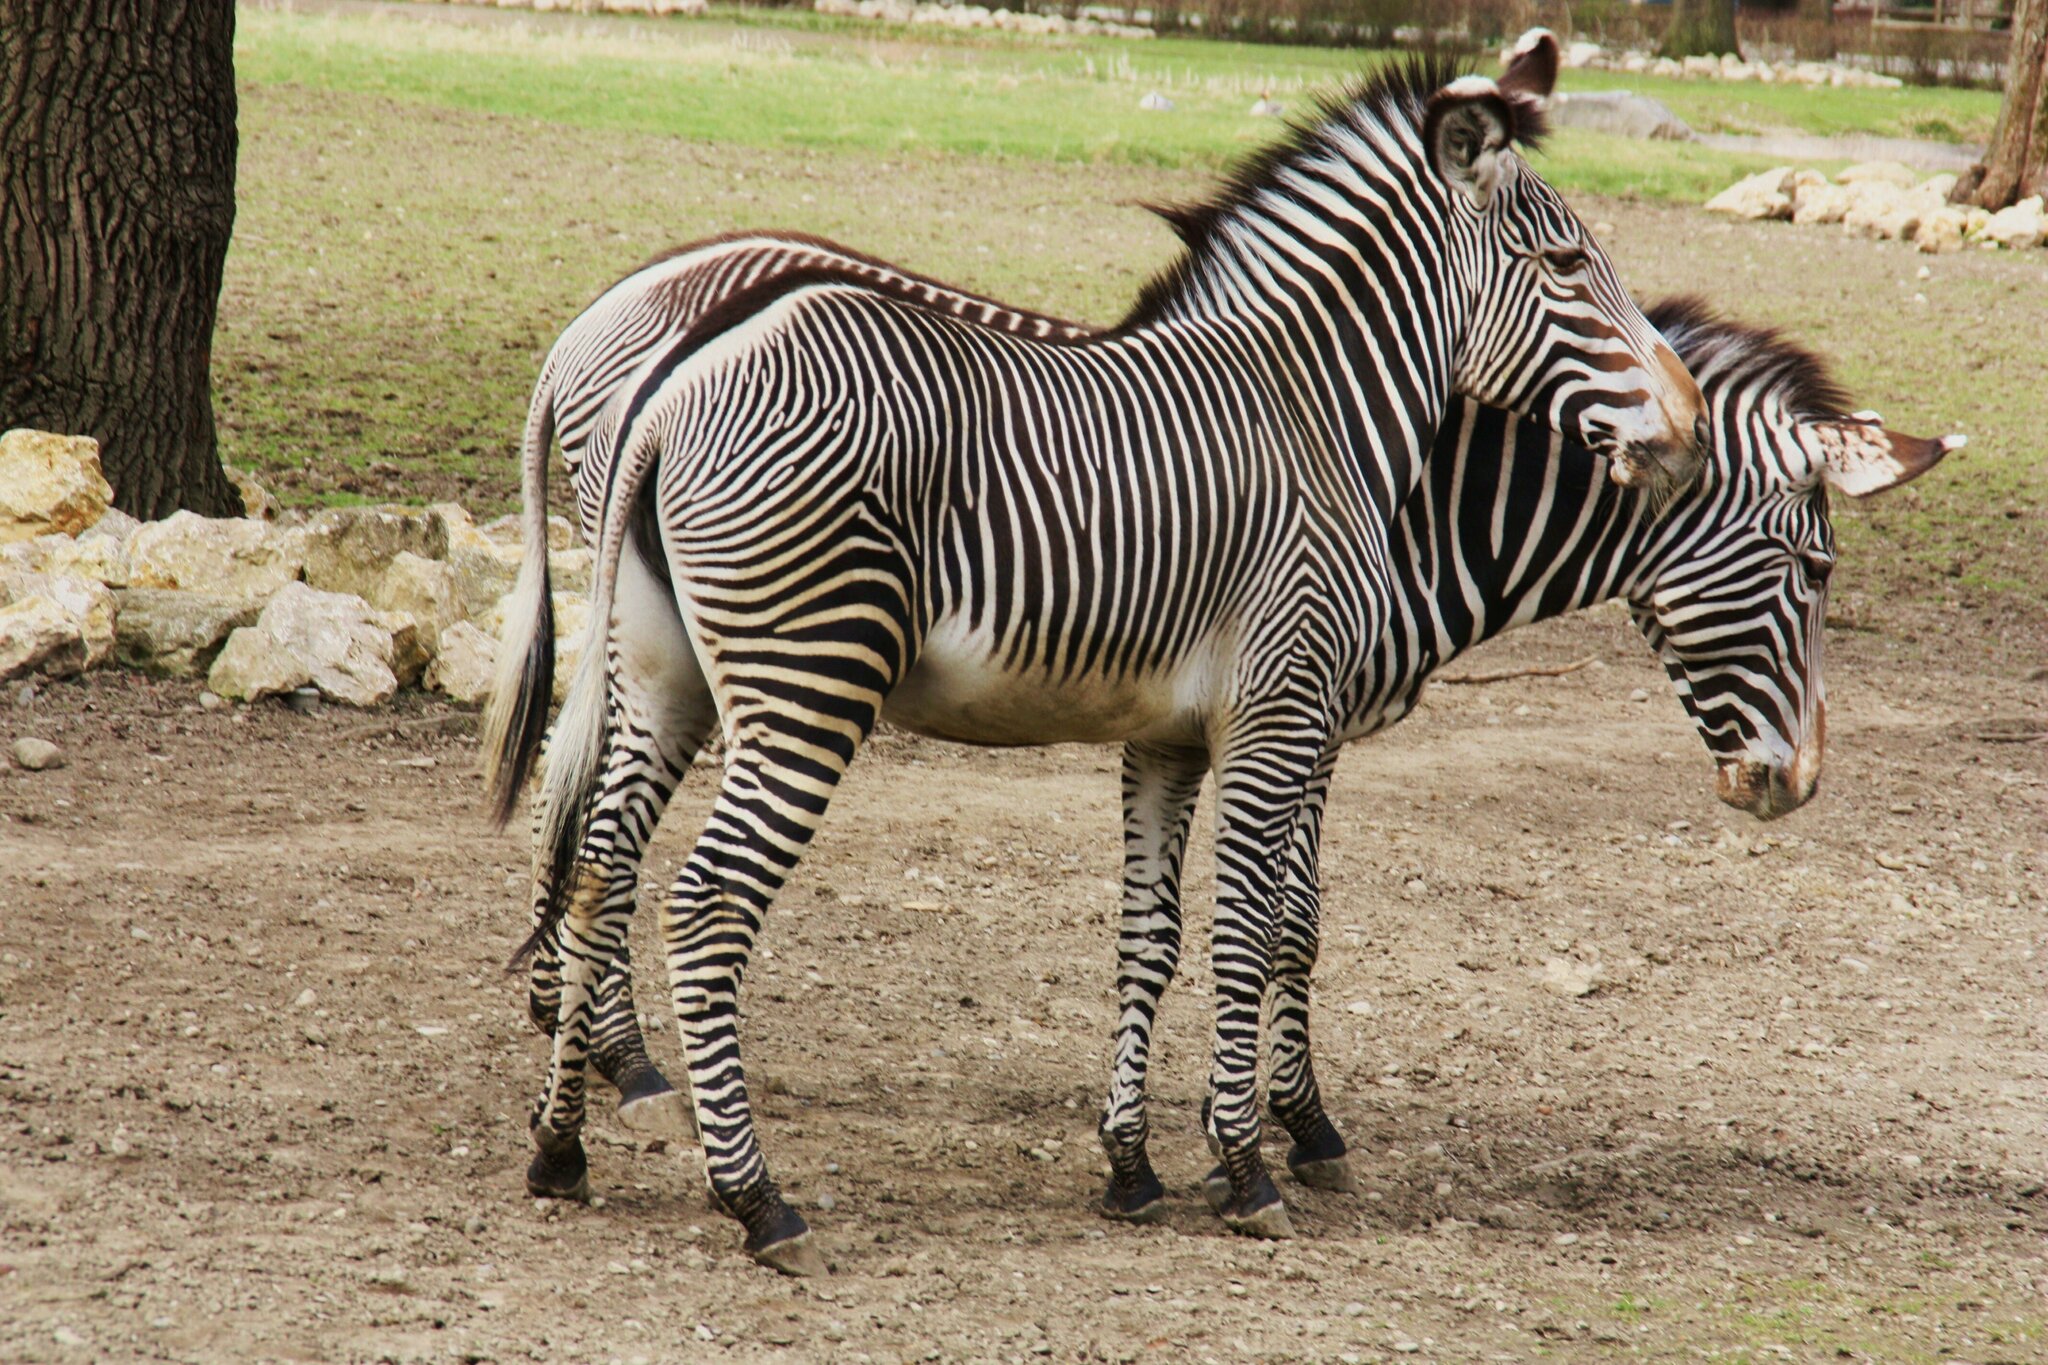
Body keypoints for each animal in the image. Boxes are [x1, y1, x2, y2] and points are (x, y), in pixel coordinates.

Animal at [486, 44, 1714, 1273]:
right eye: (1566, 263)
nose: (1689, 429)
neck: (1313, 413)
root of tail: (662, 377)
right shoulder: (1284, 710)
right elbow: (1256, 928)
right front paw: (1251, 1165)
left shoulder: (1168, 734)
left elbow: (1151, 935)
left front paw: (1134, 1168)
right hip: (810, 680)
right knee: (704, 902)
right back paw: (756, 1198)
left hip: (664, 675)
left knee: (595, 863)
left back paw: (561, 1147)